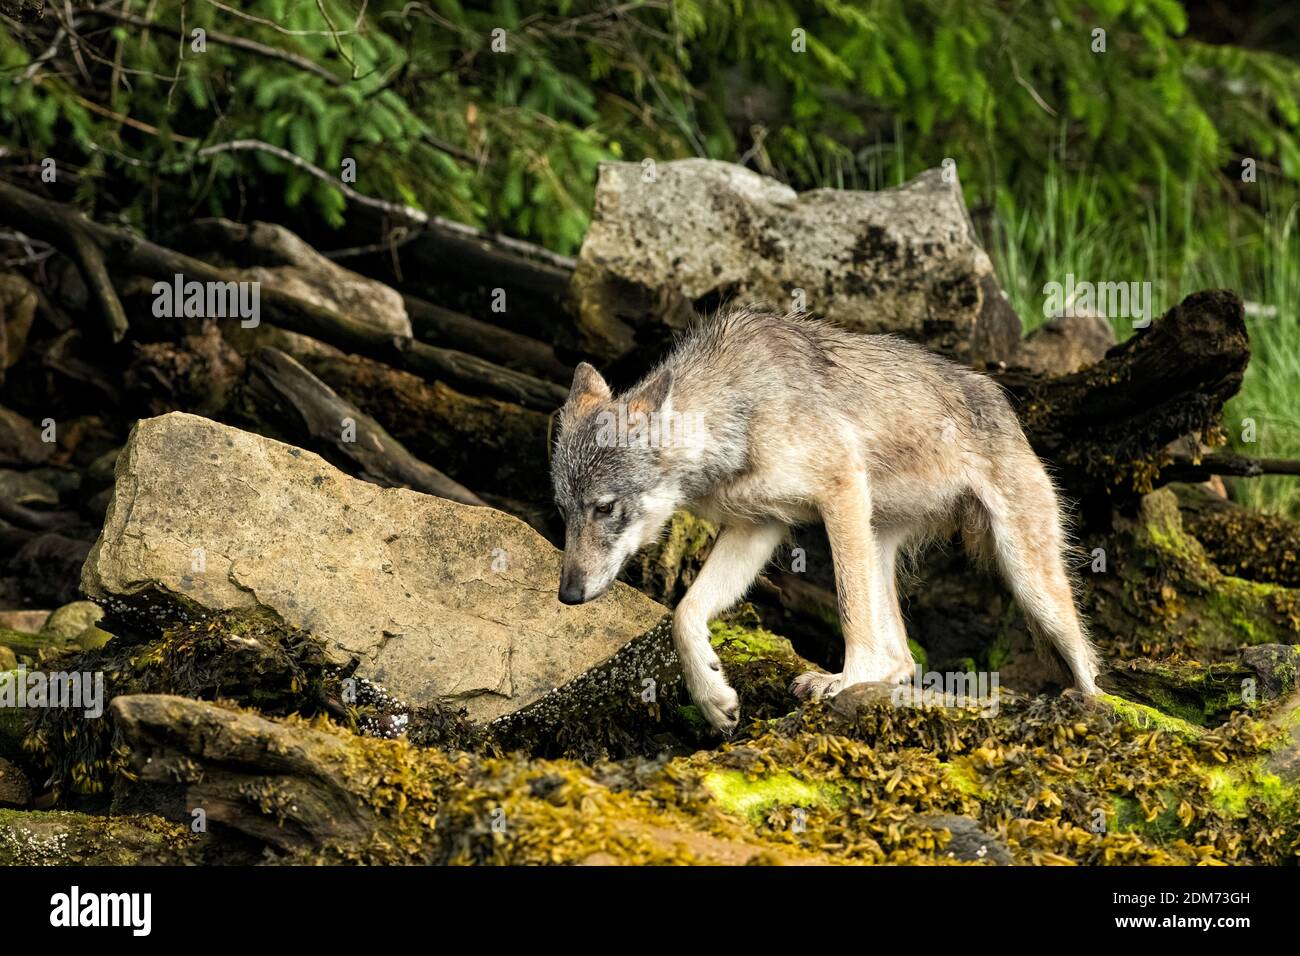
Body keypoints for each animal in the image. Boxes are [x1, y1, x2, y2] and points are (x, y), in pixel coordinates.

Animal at [551, 308, 1100, 732]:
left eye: (604, 508)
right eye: (564, 511)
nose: (568, 595)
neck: (739, 417)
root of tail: (1004, 402)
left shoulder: (840, 490)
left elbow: (850, 612)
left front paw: (844, 681)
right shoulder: (757, 527)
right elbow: (685, 614)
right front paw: (713, 697)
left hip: (1028, 581)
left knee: (1091, 669)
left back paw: (1086, 705)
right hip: (879, 541)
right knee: (903, 661)